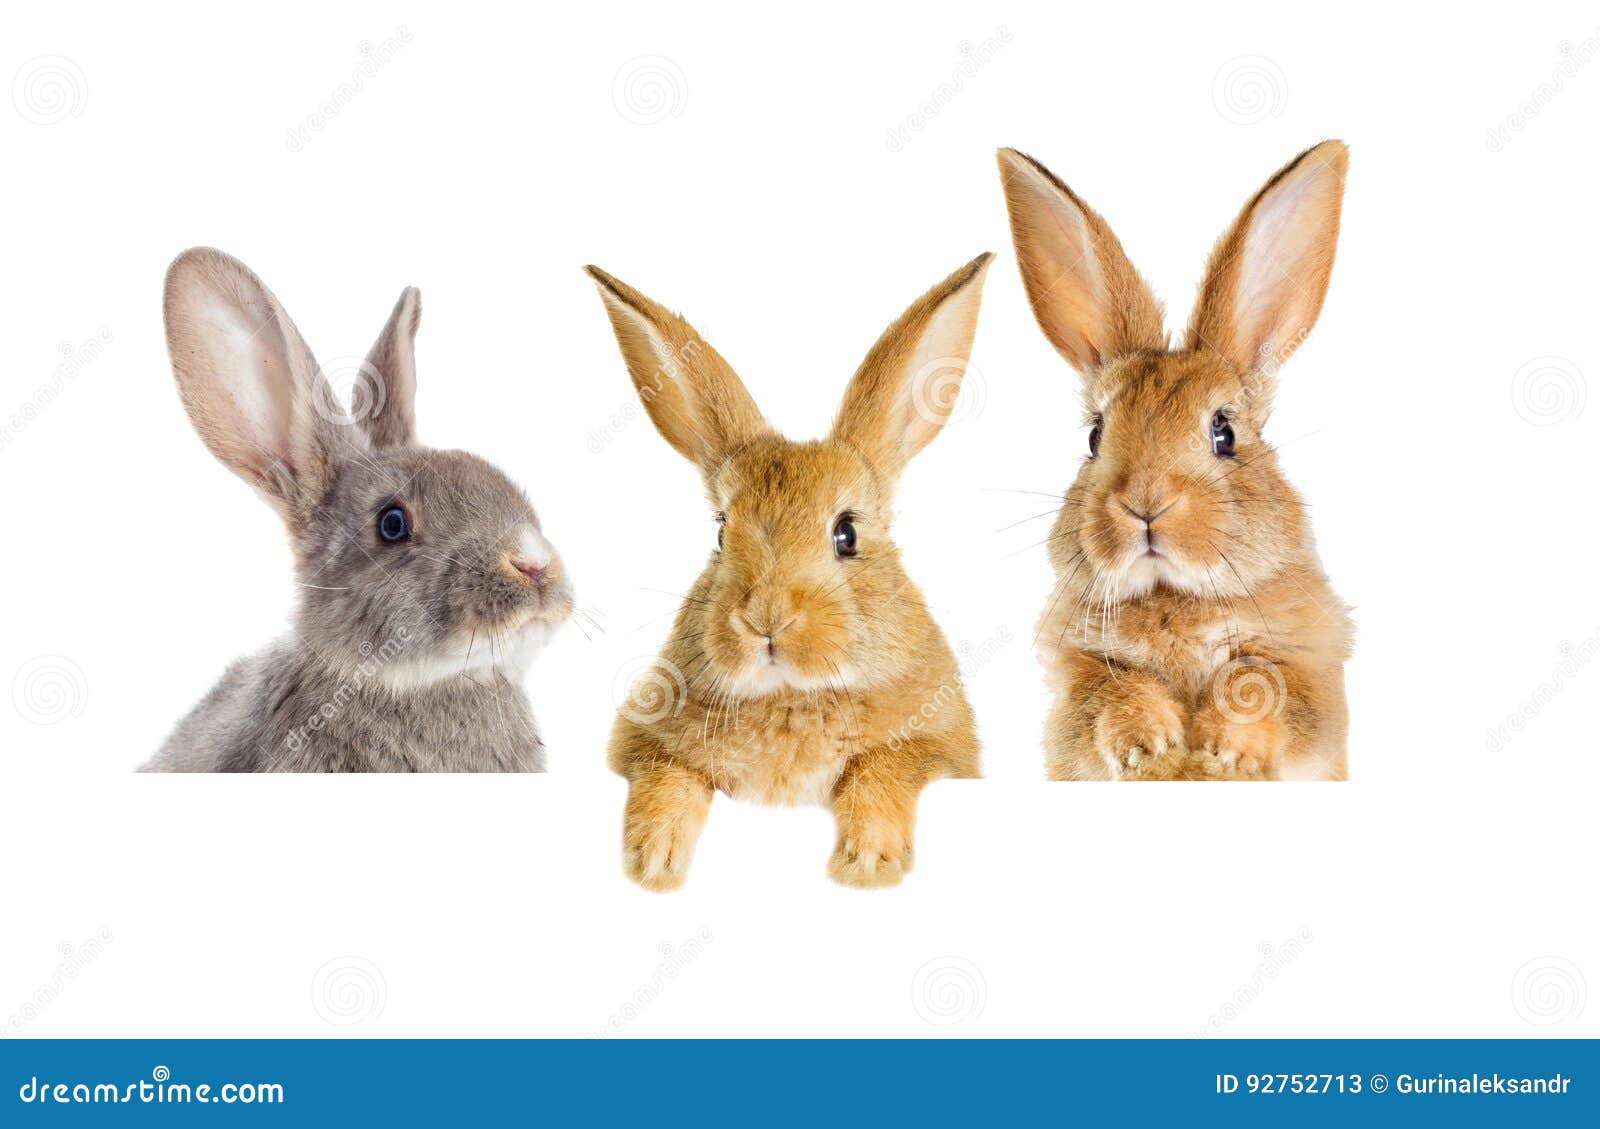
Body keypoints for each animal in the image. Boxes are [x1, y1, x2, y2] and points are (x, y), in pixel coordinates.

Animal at [585, 254, 993, 888]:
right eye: (721, 532)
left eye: (846, 534)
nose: (765, 620)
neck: (790, 697)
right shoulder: (644, 742)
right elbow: (666, 775)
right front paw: (652, 861)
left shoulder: (940, 745)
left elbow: (886, 765)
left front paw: (866, 864)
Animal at [996, 142, 1354, 782]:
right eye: (1095, 435)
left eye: (1224, 432)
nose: (1145, 505)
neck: (1175, 597)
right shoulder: (1082, 679)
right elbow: (1114, 695)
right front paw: (1151, 748)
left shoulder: (1305, 669)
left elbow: (1257, 686)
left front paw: (1222, 753)